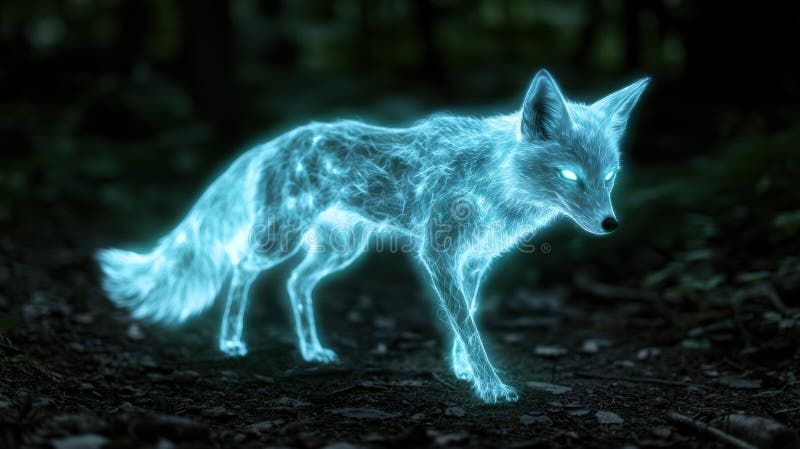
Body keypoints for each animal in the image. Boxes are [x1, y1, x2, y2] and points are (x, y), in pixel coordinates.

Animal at [98, 70, 649, 403]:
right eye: (571, 176)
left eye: (609, 177)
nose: (611, 224)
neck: (495, 184)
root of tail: (277, 141)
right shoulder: (440, 254)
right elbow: (469, 328)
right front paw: (490, 387)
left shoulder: (473, 262)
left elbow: (464, 322)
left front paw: (464, 371)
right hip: (282, 239)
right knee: (241, 268)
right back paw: (232, 339)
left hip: (341, 251)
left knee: (296, 284)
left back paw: (312, 351)